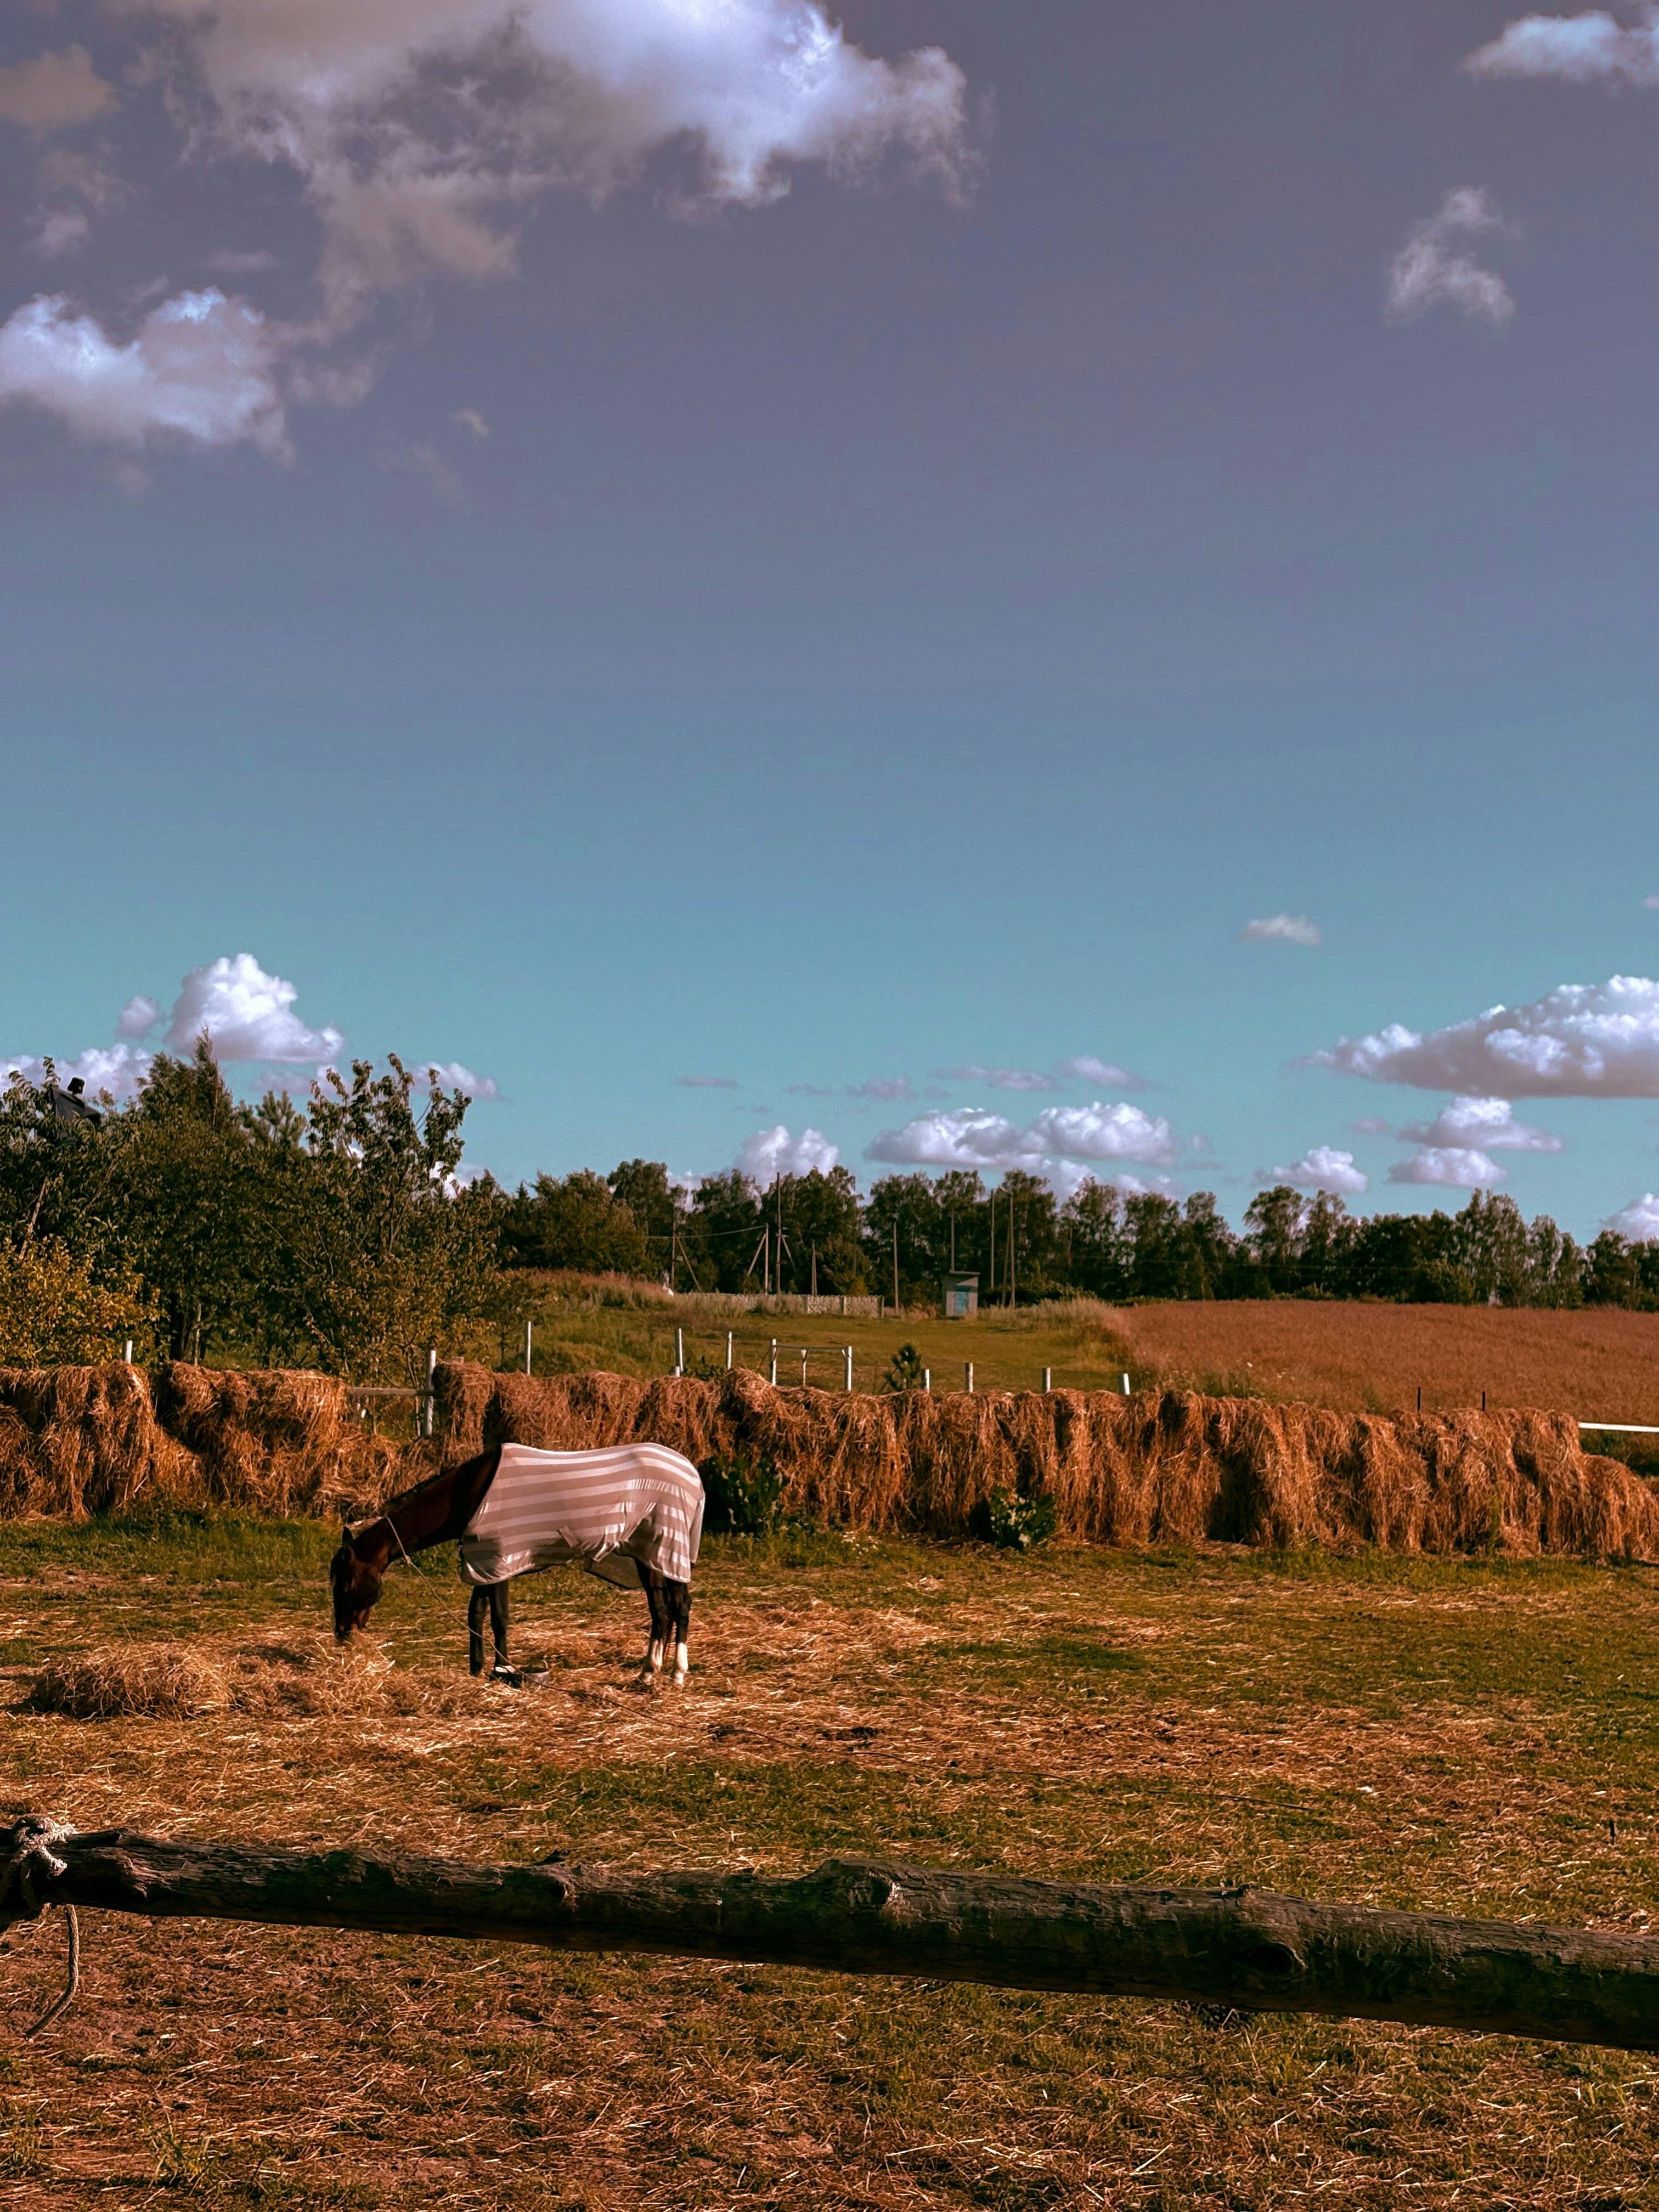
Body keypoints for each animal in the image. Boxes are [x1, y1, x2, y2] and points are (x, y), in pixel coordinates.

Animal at [329, 1440, 704, 1685]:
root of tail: (691, 1472)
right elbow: (477, 1613)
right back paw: (647, 1674)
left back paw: (677, 1673)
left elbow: (498, 1617)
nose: (342, 1634)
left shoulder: (499, 1559)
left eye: (346, 1582)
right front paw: (478, 1668)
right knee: (661, 1611)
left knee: (680, 1606)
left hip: (668, 1547)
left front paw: (503, 1669)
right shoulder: (482, 1561)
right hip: (648, 1554)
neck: (470, 1494)